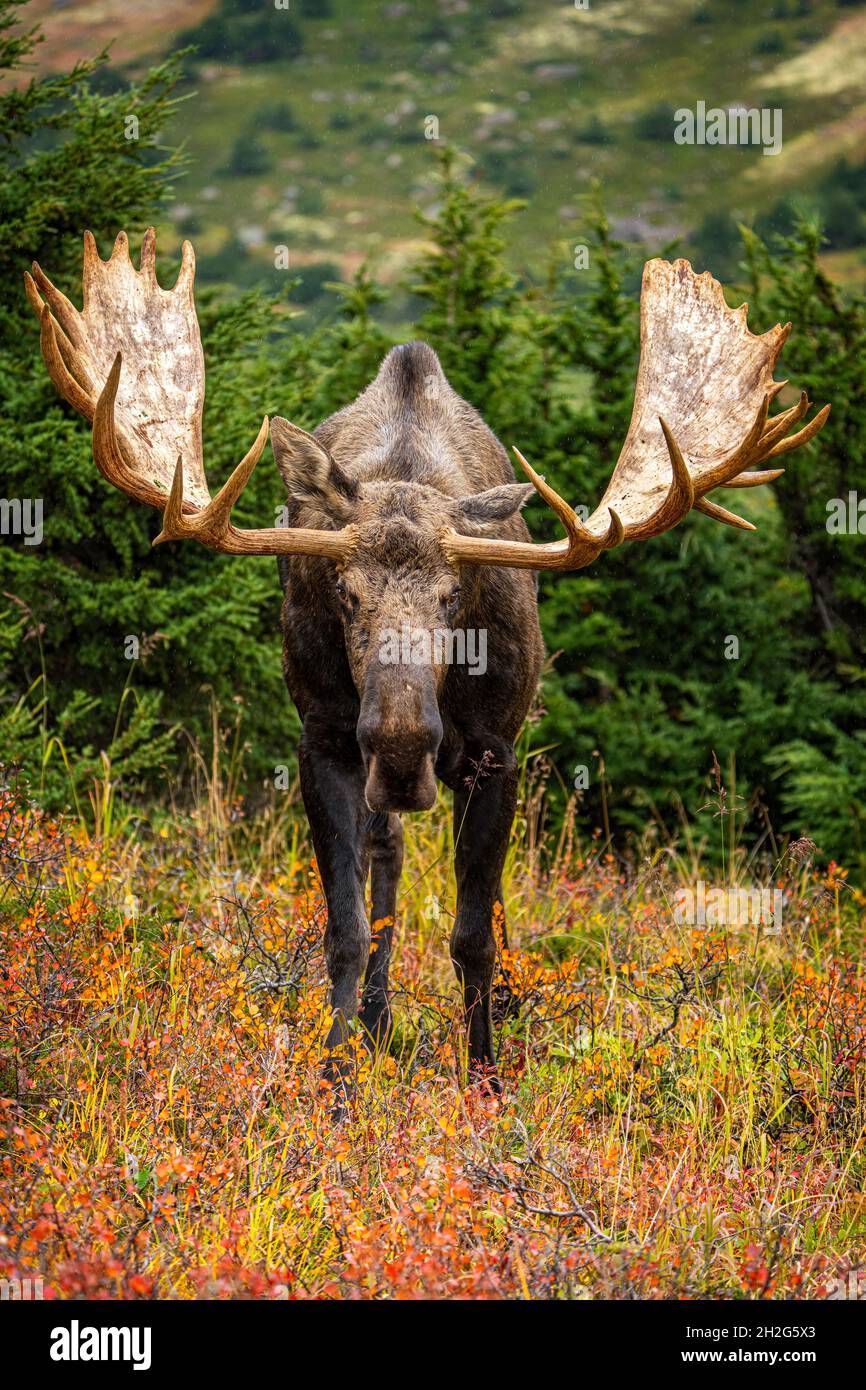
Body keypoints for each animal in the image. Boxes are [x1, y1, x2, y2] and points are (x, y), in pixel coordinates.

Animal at [26, 231, 829, 1096]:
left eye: (453, 596)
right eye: (345, 593)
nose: (404, 744)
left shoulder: (496, 750)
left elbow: (474, 932)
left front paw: (485, 1078)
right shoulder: (324, 739)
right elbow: (345, 926)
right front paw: (336, 1080)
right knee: (388, 858)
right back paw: (377, 1023)